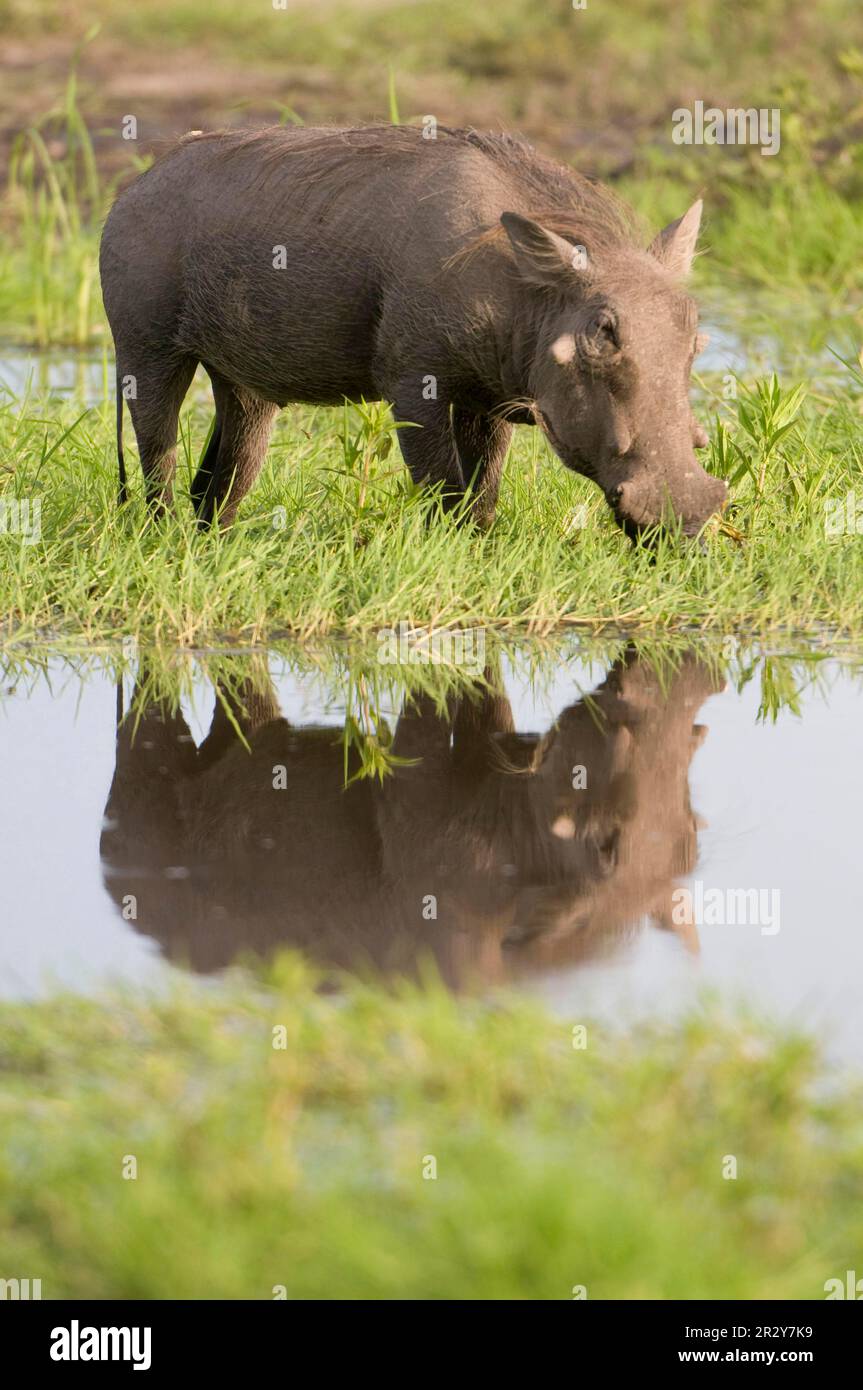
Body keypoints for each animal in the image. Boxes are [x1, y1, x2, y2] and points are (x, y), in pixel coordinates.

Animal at [99, 124, 726, 535]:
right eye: (603, 331)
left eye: (694, 334)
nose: (689, 515)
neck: (514, 287)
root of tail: (137, 183)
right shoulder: (412, 381)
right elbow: (442, 482)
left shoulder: (489, 399)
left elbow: (485, 487)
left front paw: (482, 550)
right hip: (145, 351)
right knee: (158, 457)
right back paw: (161, 537)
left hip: (245, 384)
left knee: (225, 479)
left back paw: (216, 544)